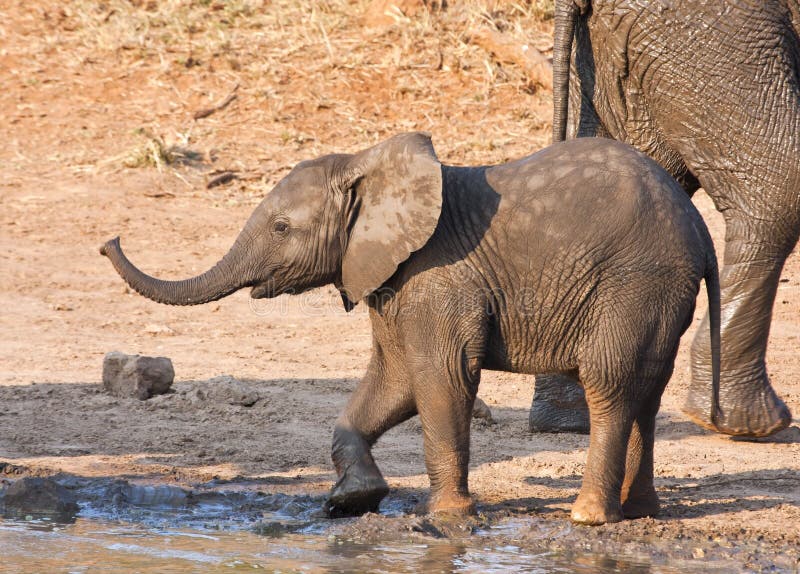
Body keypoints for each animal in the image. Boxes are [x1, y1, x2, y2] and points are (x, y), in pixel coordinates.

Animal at [101, 133, 720, 525]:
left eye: (280, 227)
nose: (108, 241)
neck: (366, 168)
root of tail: (699, 229)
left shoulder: (436, 279)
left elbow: (440, 378)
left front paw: (445, 518)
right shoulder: (390, 281)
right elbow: (393, 383)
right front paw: (354, 501)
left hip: (635, 281)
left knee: (609, 384)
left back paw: (588, 517)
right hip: (660, 294)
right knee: (645, 390)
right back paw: (637, 513)